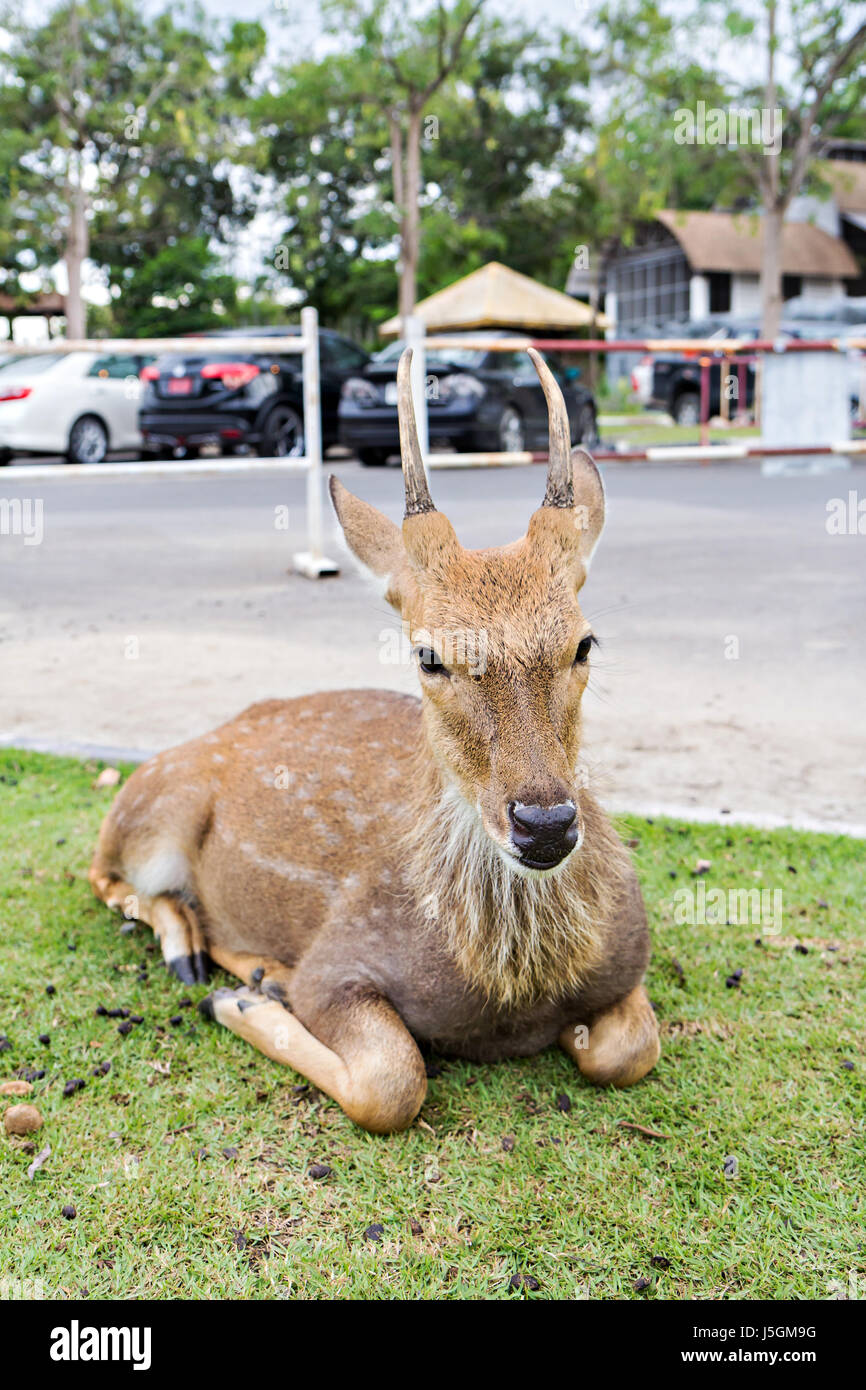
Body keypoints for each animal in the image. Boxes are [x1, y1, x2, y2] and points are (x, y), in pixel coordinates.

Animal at [89, 347, 660, 1133]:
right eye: (428, 656)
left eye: (584, 642)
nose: (544, 823)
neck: (512, 986)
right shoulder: (340, 959)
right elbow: (392, 1084)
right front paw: (242, 1000)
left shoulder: (630, 959)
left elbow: (630, 1049)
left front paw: (578, 1033)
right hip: (150, 816)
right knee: (107, 877)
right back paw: (219, 964)